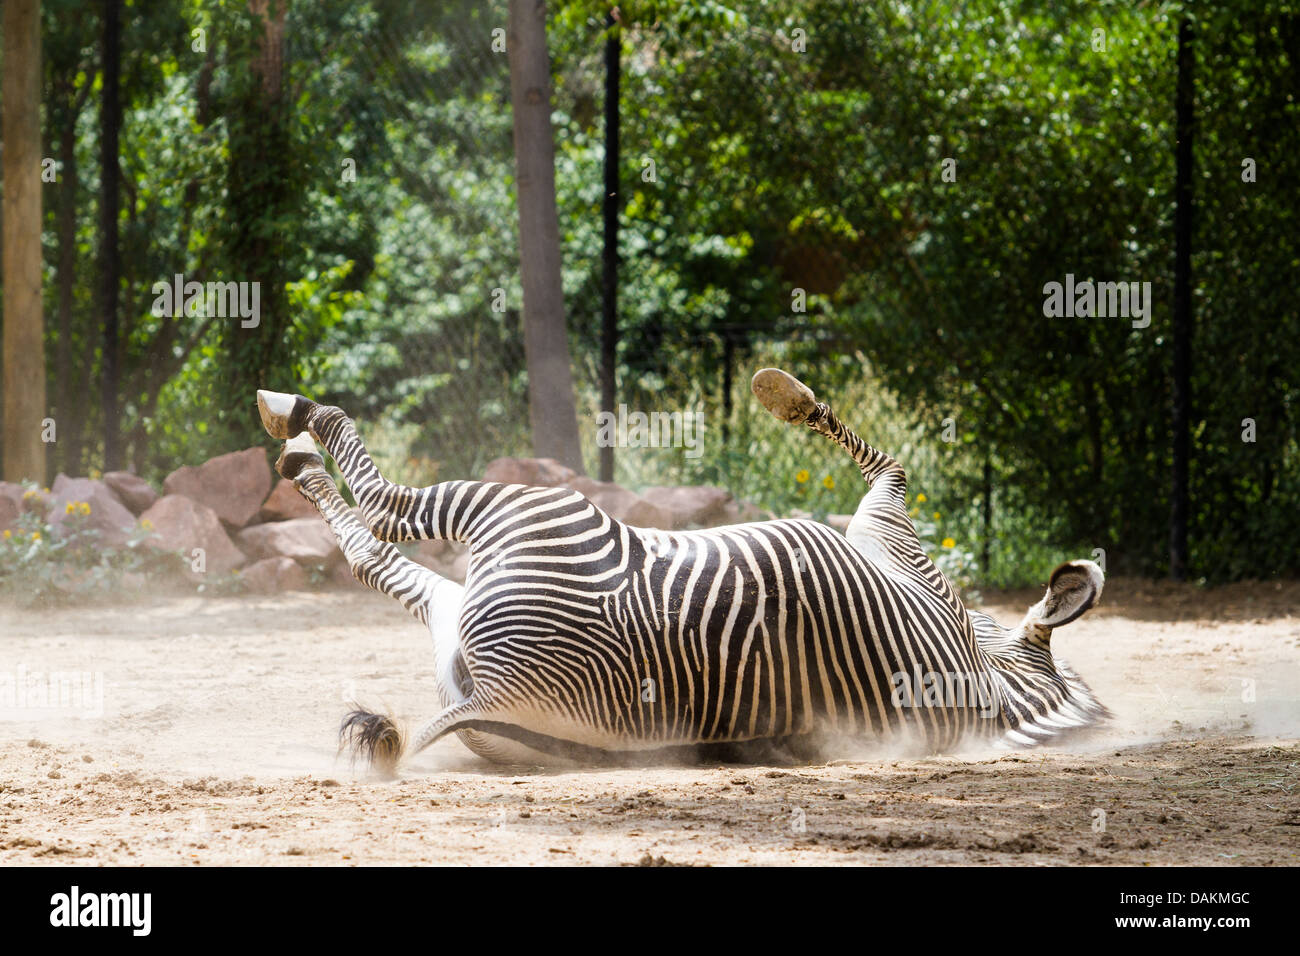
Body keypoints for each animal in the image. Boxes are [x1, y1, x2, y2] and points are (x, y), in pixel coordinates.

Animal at [256, 368, 1108, 770]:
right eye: (988, 617)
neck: (999, 690)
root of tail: (492, 698)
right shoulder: (897, 543)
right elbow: (884, 454)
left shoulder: (891, 527)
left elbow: (886, 458)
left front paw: (782, 392)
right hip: (460, 620)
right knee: (373, 550)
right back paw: (301, 457)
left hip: (525, 516)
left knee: (384, 512)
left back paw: (294, 424)